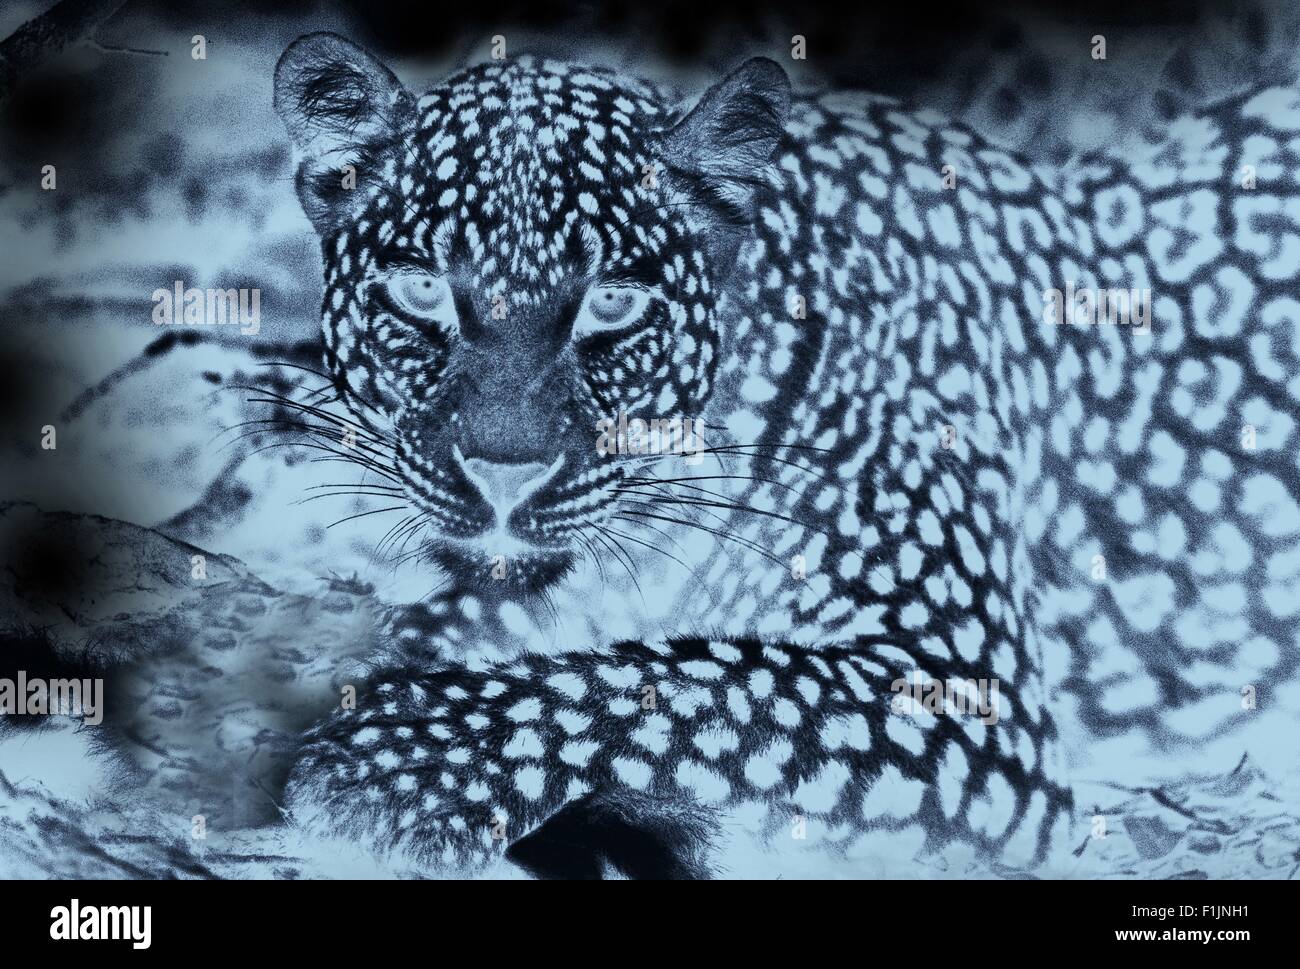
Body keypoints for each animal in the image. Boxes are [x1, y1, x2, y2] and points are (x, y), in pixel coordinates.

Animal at [267, 31, 1300, 878]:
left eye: (613, 304)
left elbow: (702, 678)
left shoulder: (969, 688)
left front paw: (400, 754)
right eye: (420, 292)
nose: (502, 471)